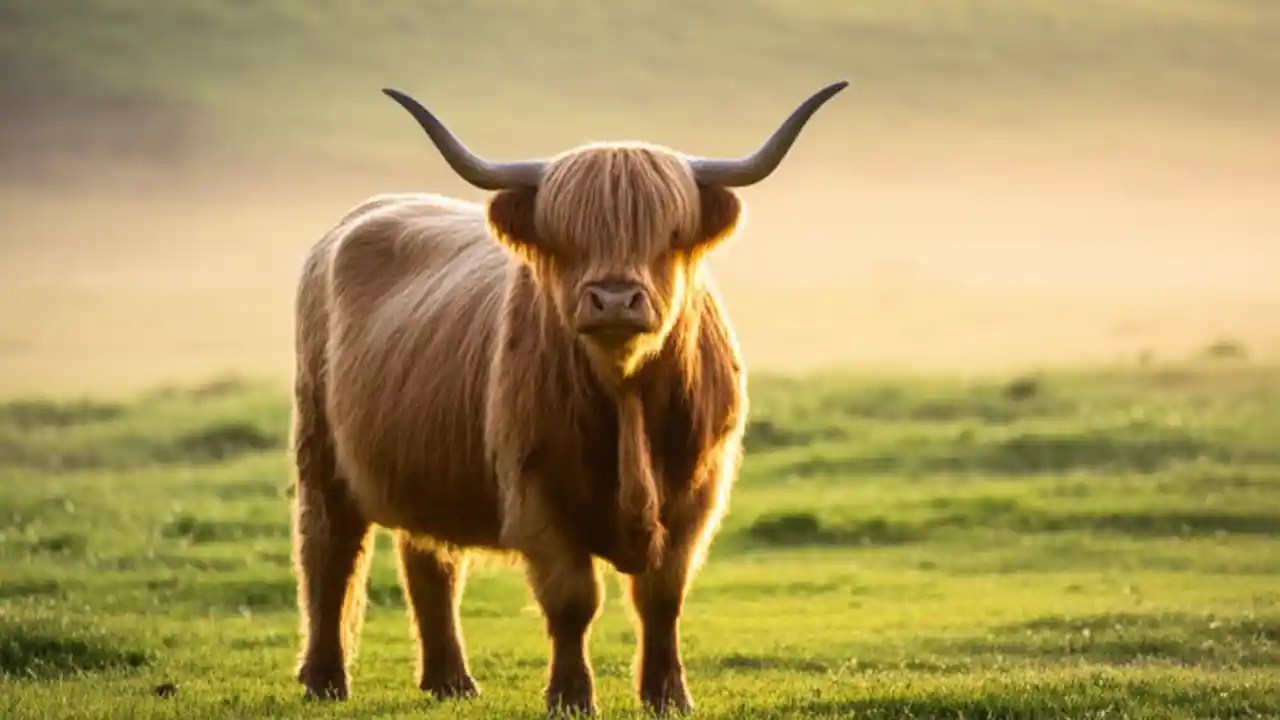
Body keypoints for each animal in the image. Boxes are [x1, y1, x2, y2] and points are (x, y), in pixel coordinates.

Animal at [290, 81, 845, 715]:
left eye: (669, 233)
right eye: (566, 237)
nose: (614, 299)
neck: (626, 396)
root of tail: (362, 217)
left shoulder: (696, 494)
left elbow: (662, 597)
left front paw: (668, 695)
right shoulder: (537, 492)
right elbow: (573, 600)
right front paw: (571, 696)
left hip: (424, 465)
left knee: (430, 560)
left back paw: (450, 680)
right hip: (320, 455)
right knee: (328, 555)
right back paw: (324, 679)